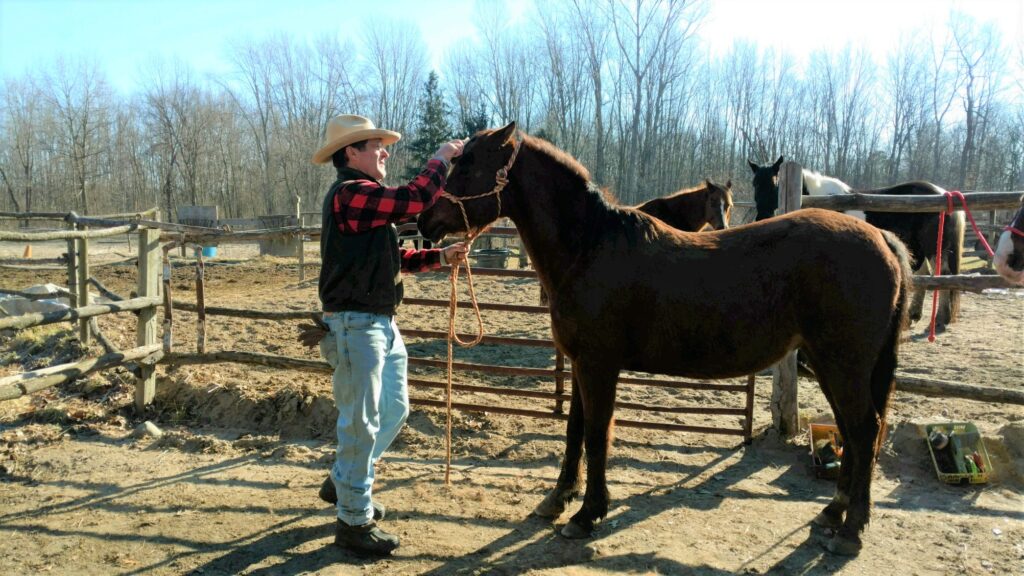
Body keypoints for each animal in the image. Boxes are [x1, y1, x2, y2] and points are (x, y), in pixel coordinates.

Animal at [419, 123, 913, 556]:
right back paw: (834, 512)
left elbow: (596, 434)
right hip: (832, 363)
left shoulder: (598, 365)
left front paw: (587, 515)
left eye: (469, 167)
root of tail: (883, 238)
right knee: (853, 431)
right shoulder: (580, 363)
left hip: (842, 364)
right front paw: (557, 500)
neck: (590, 247)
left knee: (864, 429)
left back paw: (850, 531)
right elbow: (575, 431)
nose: (425, 221)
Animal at [748, 156, 965, 329]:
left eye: (775, 183)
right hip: (915, 248)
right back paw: (914, 316)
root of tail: (942, 192)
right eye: (754, 184)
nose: (762, 218)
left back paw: (940, 319)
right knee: (924, 276)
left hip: (935, 249)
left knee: (944, 276)